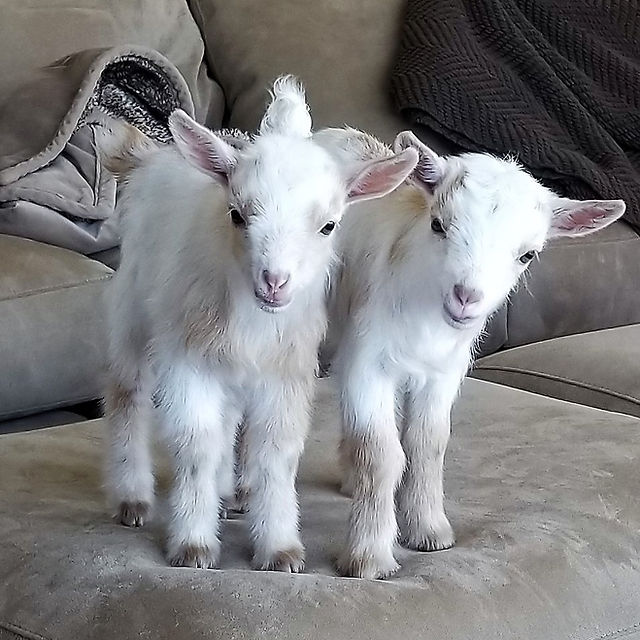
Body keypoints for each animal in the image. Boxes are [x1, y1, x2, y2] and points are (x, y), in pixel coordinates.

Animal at [103, 78, 417, 572]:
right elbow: (195, 445)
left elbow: (276, 452)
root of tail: (152, 158)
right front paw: (193, 545)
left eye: (329, 225)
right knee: (126, 393)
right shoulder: (187, 361)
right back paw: (131, 499)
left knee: (229, 418)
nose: (274, 282)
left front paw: (280, 548)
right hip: (132, 308)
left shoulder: (285, 372)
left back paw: (228, 495)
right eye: (237, 214)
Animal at [315, 126, 625, 579]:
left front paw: (428, 530)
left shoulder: (443, 373)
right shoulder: (368, 363)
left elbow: (428, 443)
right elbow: (380, 452)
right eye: (438, 224)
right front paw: (369, 556)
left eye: (527, 254)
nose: (466, 298)